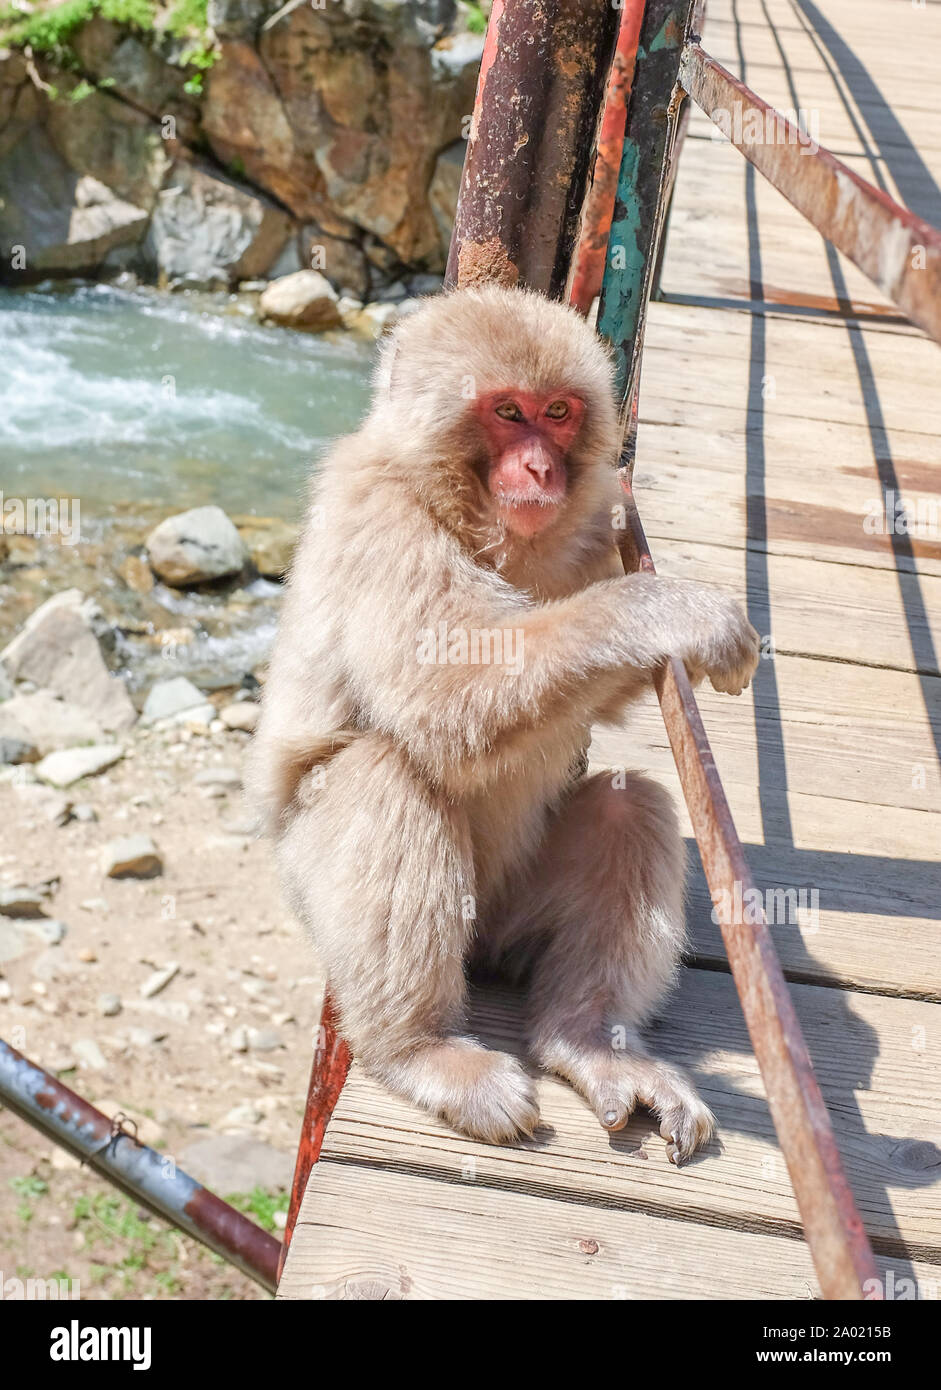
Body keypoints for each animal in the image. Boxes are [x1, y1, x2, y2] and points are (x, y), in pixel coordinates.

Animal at [250, 284, 759, 1163]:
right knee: (382, 775)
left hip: (509, 917)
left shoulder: (592, 530)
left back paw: (585, 1039)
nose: (540, 468)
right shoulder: (381, 518)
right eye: (506, 412)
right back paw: (418, 1048)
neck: (474, 521)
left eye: (556, 412)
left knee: (628, 808)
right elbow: (444, 691)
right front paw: (670, 610)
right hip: (322, 884)